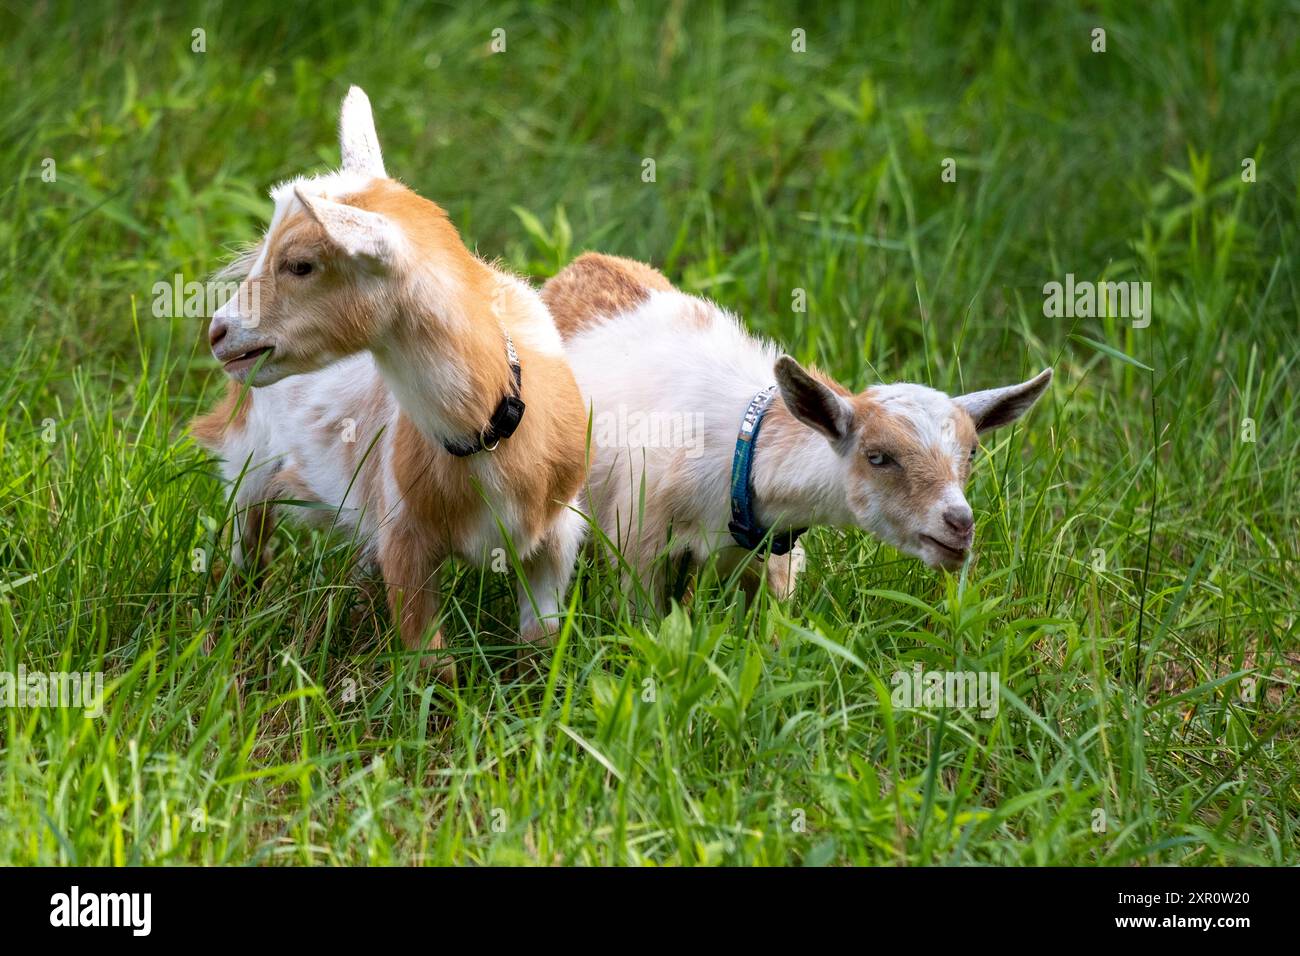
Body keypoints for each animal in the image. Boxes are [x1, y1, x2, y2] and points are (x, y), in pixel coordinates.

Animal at [190, 88, 588, 677]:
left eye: (301, 264)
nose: (219, 332)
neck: (490, 427)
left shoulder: (556, 538)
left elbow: (540, 644)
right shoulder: (405, 538)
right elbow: (432, 667)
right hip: (251, 456)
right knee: (248, 537)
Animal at [543, 253, 1051, 608]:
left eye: (971, 453)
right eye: (877, 456)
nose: (959, 524)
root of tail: (582, 263)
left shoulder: (776, 564)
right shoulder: (636, 544)